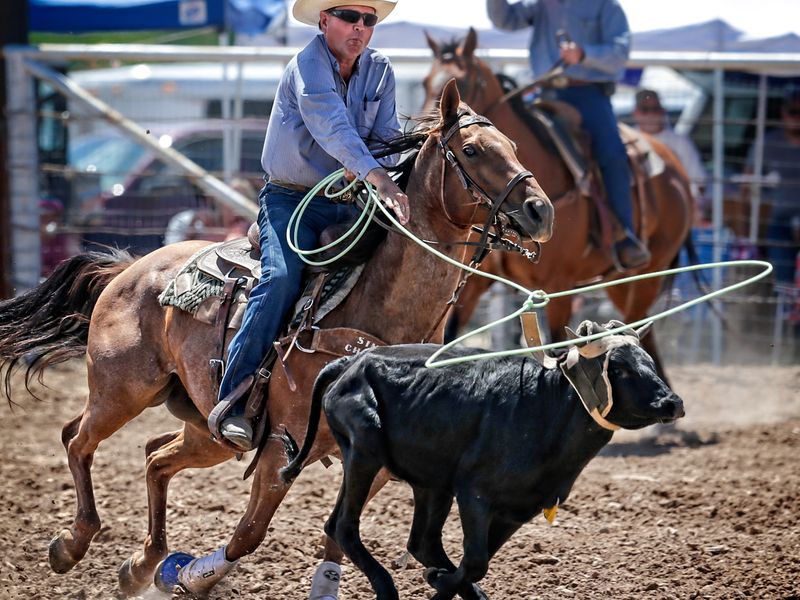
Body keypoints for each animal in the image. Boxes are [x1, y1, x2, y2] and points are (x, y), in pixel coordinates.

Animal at [280, 320, 685, 600]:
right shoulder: (475, 493)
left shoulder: (520, 509)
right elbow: (475, 560)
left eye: (649, 362)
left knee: (419, 541)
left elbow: (476, 563)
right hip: (364, 450)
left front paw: (441, 581)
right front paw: (438, 580)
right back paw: (385, 587)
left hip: (430, 483)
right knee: (345, 526)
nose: (672, 402)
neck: (546, 407)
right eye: (619, 368)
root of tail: (351, 362)